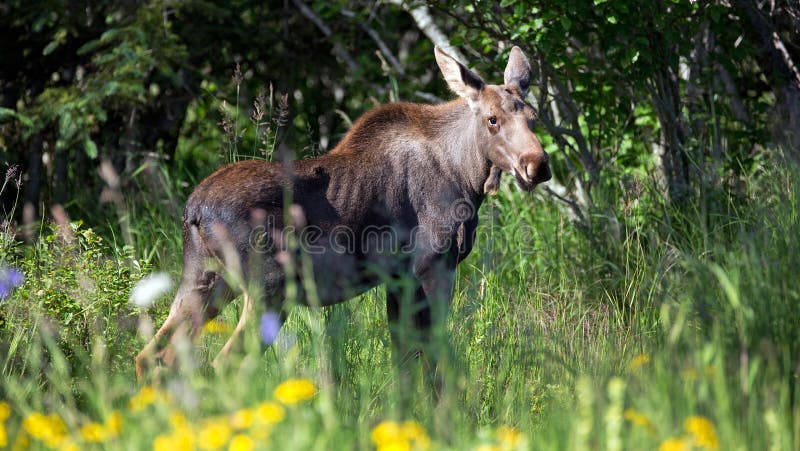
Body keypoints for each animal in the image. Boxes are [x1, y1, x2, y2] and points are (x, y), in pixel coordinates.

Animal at [135, 45, 550, 379]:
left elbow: (406, 360)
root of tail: (194, 211)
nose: (537, 165)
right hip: (267, 287)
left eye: (533, 117)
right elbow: (434, 362)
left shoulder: (400, 278)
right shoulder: (433, 267)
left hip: (205, 279)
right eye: (492, 119)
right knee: (222, 362)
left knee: (153, 356)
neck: (466, 175)